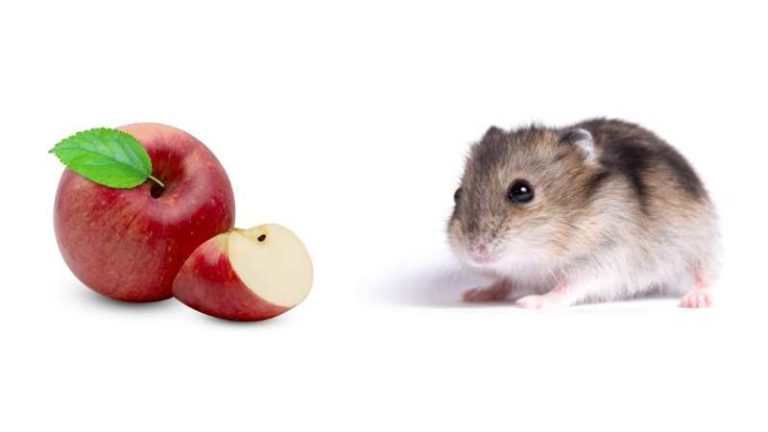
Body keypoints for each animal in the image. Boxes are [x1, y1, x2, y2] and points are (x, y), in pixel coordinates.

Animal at [447, 118, 719, 308]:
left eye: (521, 191)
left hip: (698, 240)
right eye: (457, 194)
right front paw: (473, 294)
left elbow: (569, 286)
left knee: (704, 271)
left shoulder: (607, 257)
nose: (475, 252)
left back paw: (696, 300)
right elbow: (504, 279)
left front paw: (529, 302)